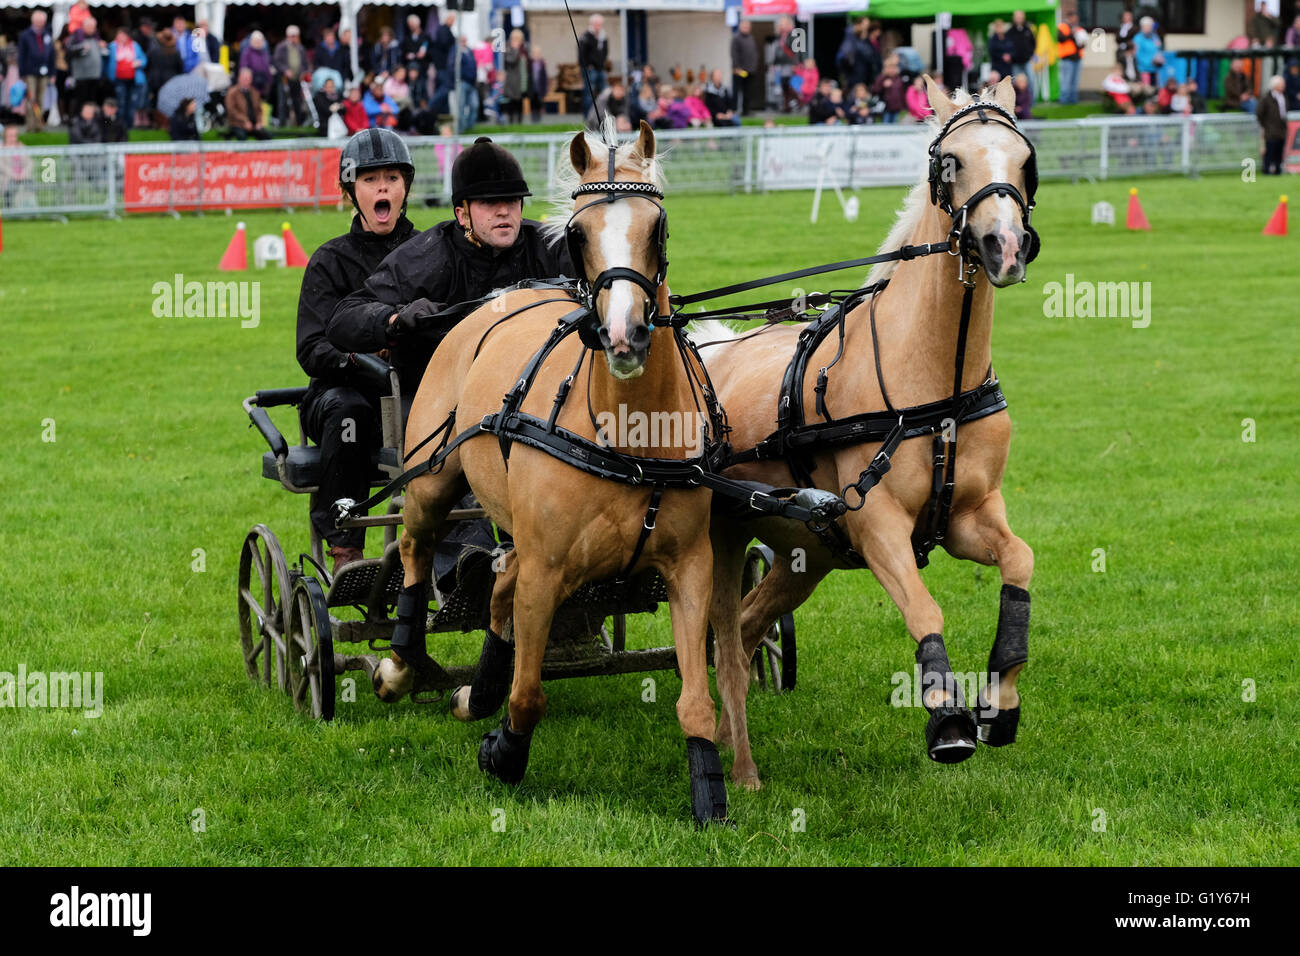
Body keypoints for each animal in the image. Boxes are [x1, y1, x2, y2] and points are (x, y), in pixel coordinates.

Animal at [371, 120, 731, 825]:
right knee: (417, 553)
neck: (627, 432)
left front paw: (709, 790)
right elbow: (530, 692)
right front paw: (504, 753)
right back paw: (402, 664)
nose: (624, 335)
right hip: (430, 479)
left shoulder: (690, 565)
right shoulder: (547, 568)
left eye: (659, 227)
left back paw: (475, 691)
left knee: (498, 586)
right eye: (578, 234)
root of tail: (498, 298)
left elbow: (696, 699)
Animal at [698, 78, 1039, 789]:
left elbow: (1019, 561)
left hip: (807, 553)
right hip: (721, 536)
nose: (1005, 246)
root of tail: (710, 353)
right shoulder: (876, 523)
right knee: (721, 638)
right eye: (951, 162)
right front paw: (948, 723)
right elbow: (925, 610)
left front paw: (1002, 703)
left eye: (1024, 159)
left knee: (745, 629)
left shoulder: (969, 515)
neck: (935, 383)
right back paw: (740, 767)